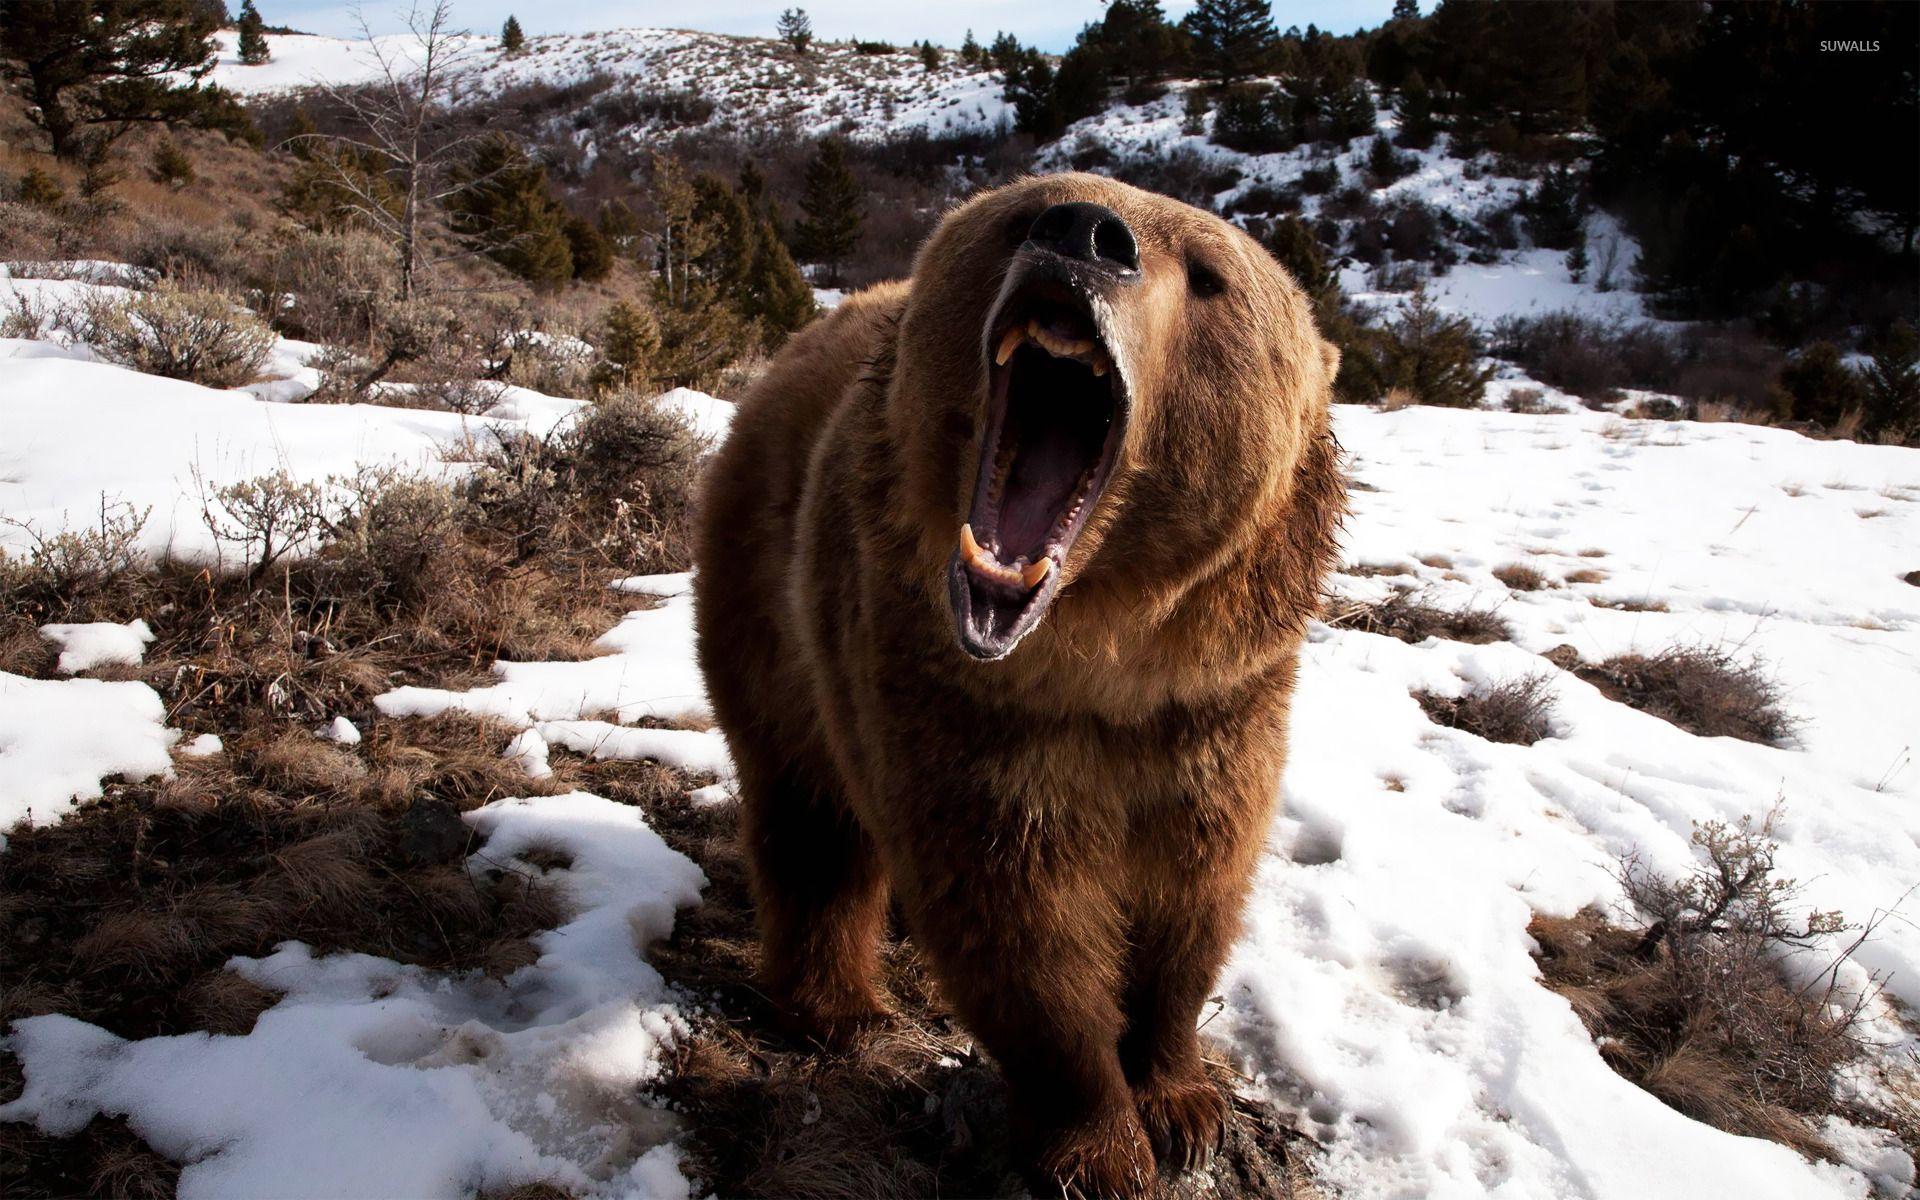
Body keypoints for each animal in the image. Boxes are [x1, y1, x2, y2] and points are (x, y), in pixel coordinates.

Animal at [693, 172, 1345, 1198]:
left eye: (1210, 275)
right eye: (1026, 211)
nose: (1085, 235)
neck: (1100, 660)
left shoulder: (1217, 707)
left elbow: (1194, 894)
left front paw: (1182, 1102)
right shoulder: (963, 705)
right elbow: (1018, 922)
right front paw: (1102, 1146)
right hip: (771, 597)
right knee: (810, 813)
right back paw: (840, 1007)